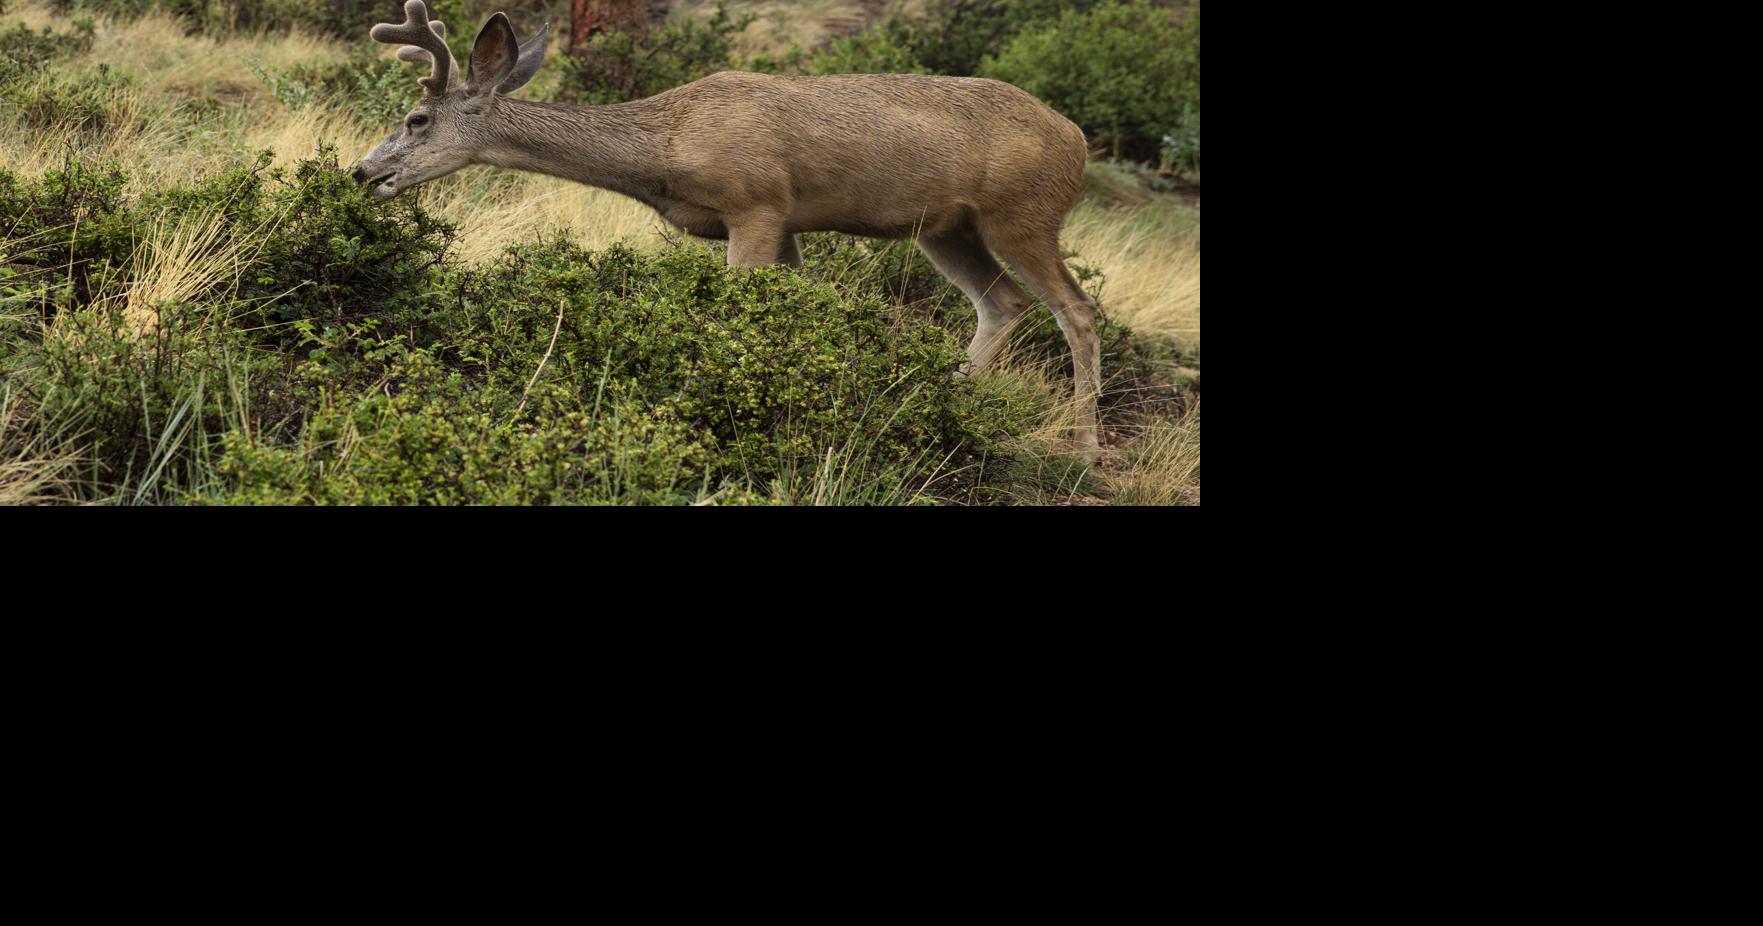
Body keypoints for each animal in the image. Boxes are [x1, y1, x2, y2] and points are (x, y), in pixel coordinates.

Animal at [352, 1, 1105, 460]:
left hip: (1022, 214)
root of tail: (1078, 138)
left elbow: (732, 316)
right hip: (944, 230)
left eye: (417, 119)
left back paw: (1083, 444)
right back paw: (943, 400)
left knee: (1076, 308)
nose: (363, 171)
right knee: (1003, 302)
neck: (665, 147)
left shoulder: (758, 203)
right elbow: (797, 310)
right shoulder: (782, 225)